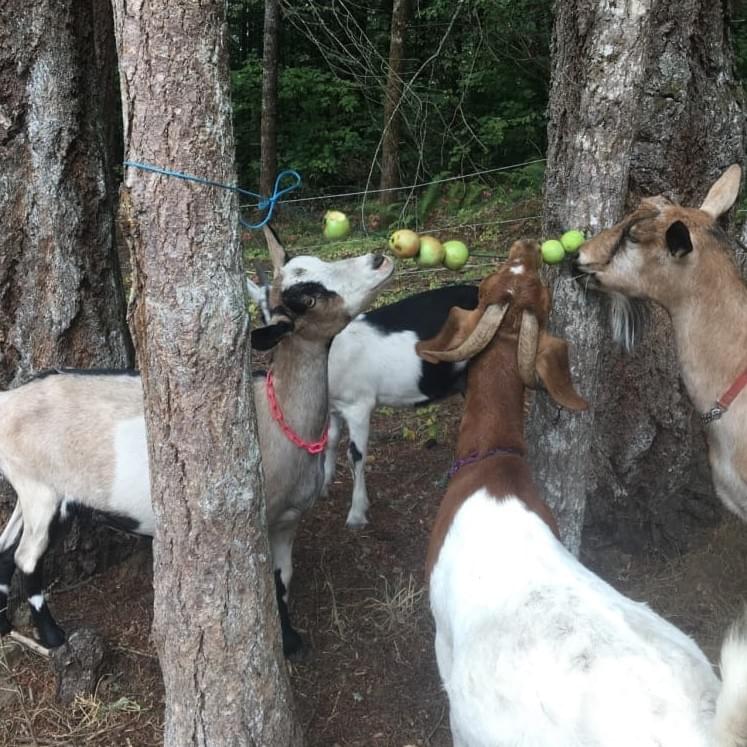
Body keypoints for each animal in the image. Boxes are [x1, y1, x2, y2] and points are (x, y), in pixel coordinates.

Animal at [0, 226, 394, 655]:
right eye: (306, 298)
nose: (379, 260)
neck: (278, 419)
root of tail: (8, 401)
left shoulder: (288, 521)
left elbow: (284, 578)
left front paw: (291, 640)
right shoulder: (263, 522)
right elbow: (271, 586)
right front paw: (288, 643)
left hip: (29, 489)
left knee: (5, 544)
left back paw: (5, 624)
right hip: (43, 492)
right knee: (26, 558)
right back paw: (53, 637)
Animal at [416, 239, 747, 746]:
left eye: (486, 284)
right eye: (504, 281)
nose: (527, 246)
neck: (493, 466)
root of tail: (704, 729)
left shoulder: (444, 648)